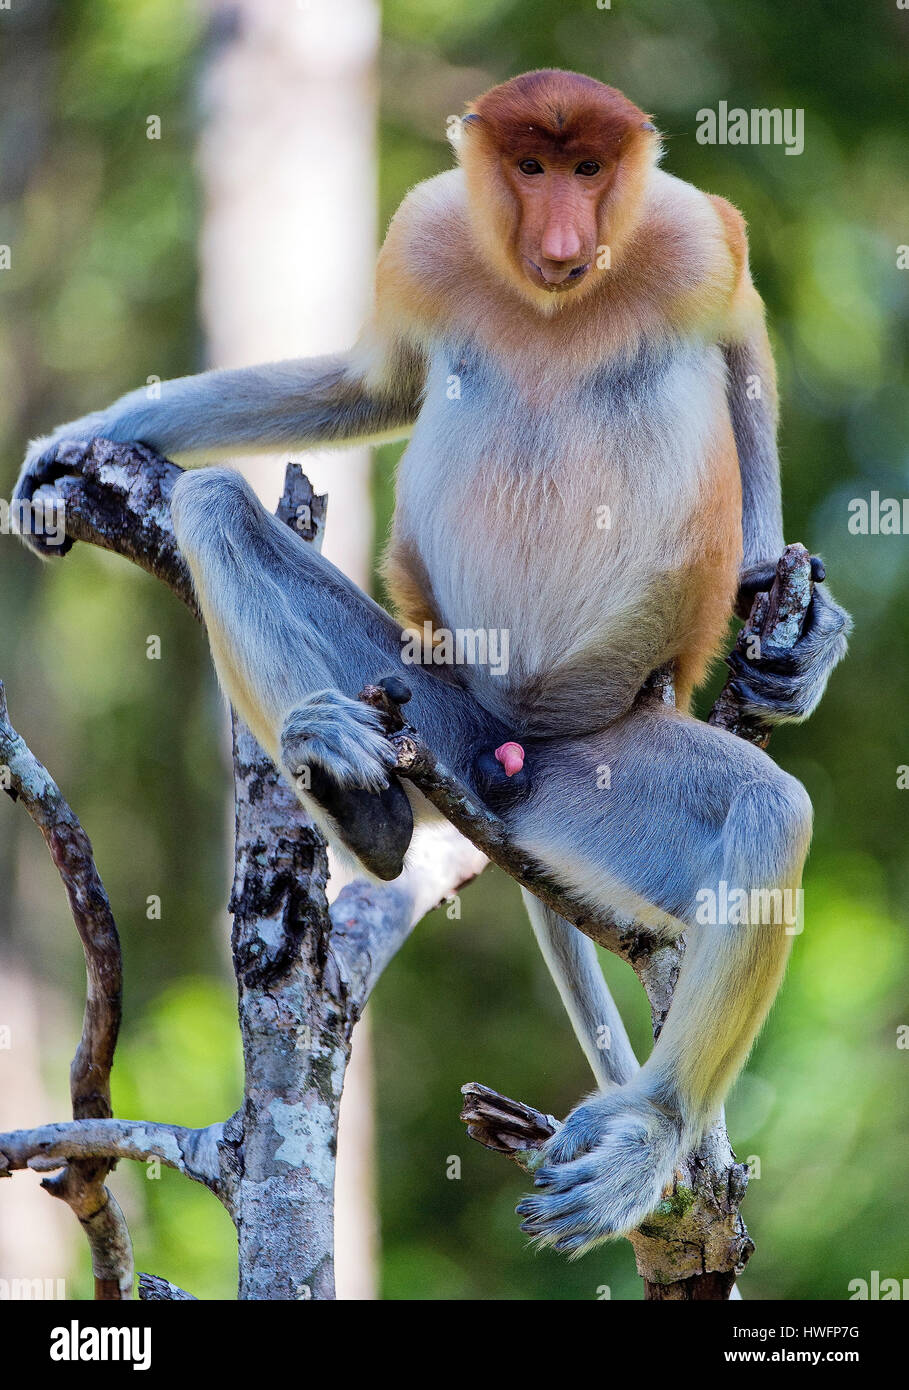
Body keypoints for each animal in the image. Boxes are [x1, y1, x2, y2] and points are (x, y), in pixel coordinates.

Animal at [14, 69, 850, 1255]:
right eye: (531, 168)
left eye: (588, 169)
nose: (561, 237)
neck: (551, 303)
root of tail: (511, 748)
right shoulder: (426, 238)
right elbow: (371, 382)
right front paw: (70, 448)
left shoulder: (695, 240)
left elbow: (741, 359)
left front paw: (797, 630)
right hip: (431, 696)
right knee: (214, 506)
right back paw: (354, 798)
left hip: (594, 768)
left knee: (768, 814)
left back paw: (649, 1129)